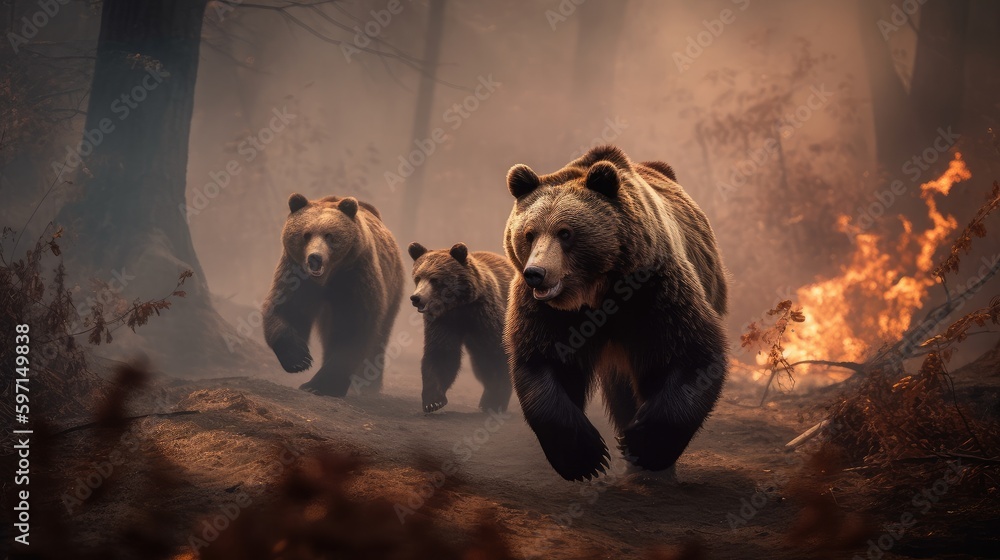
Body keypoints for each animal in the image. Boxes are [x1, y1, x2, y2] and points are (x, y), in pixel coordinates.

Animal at [262, 193, 404, 397]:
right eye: (306, 234)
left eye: (330, 235)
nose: (315, 257)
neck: (326, 279)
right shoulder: (296, 276)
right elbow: (287, 311)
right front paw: (299, 359)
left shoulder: (354, 277)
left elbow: (352, 328)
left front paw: (320, 385)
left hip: (393, 287)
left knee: (380, 336)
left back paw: (369, 384)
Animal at [407, 242, 515, 414]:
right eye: (418, 277)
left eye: (434, 279)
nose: (416, 298)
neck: (459, 307)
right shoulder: (443, 321)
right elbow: (441, 352)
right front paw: (433, 401)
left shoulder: (485, 314)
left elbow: (496, 351)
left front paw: (495, 401)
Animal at [502, 145, 729, 481]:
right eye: (529, 234)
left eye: (565, 232)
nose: (536, 274)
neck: (596, 293)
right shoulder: (549, 314)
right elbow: (543, 362)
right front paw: (587, 458)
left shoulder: (654, 290)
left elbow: (693, 355)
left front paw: (643, 446)